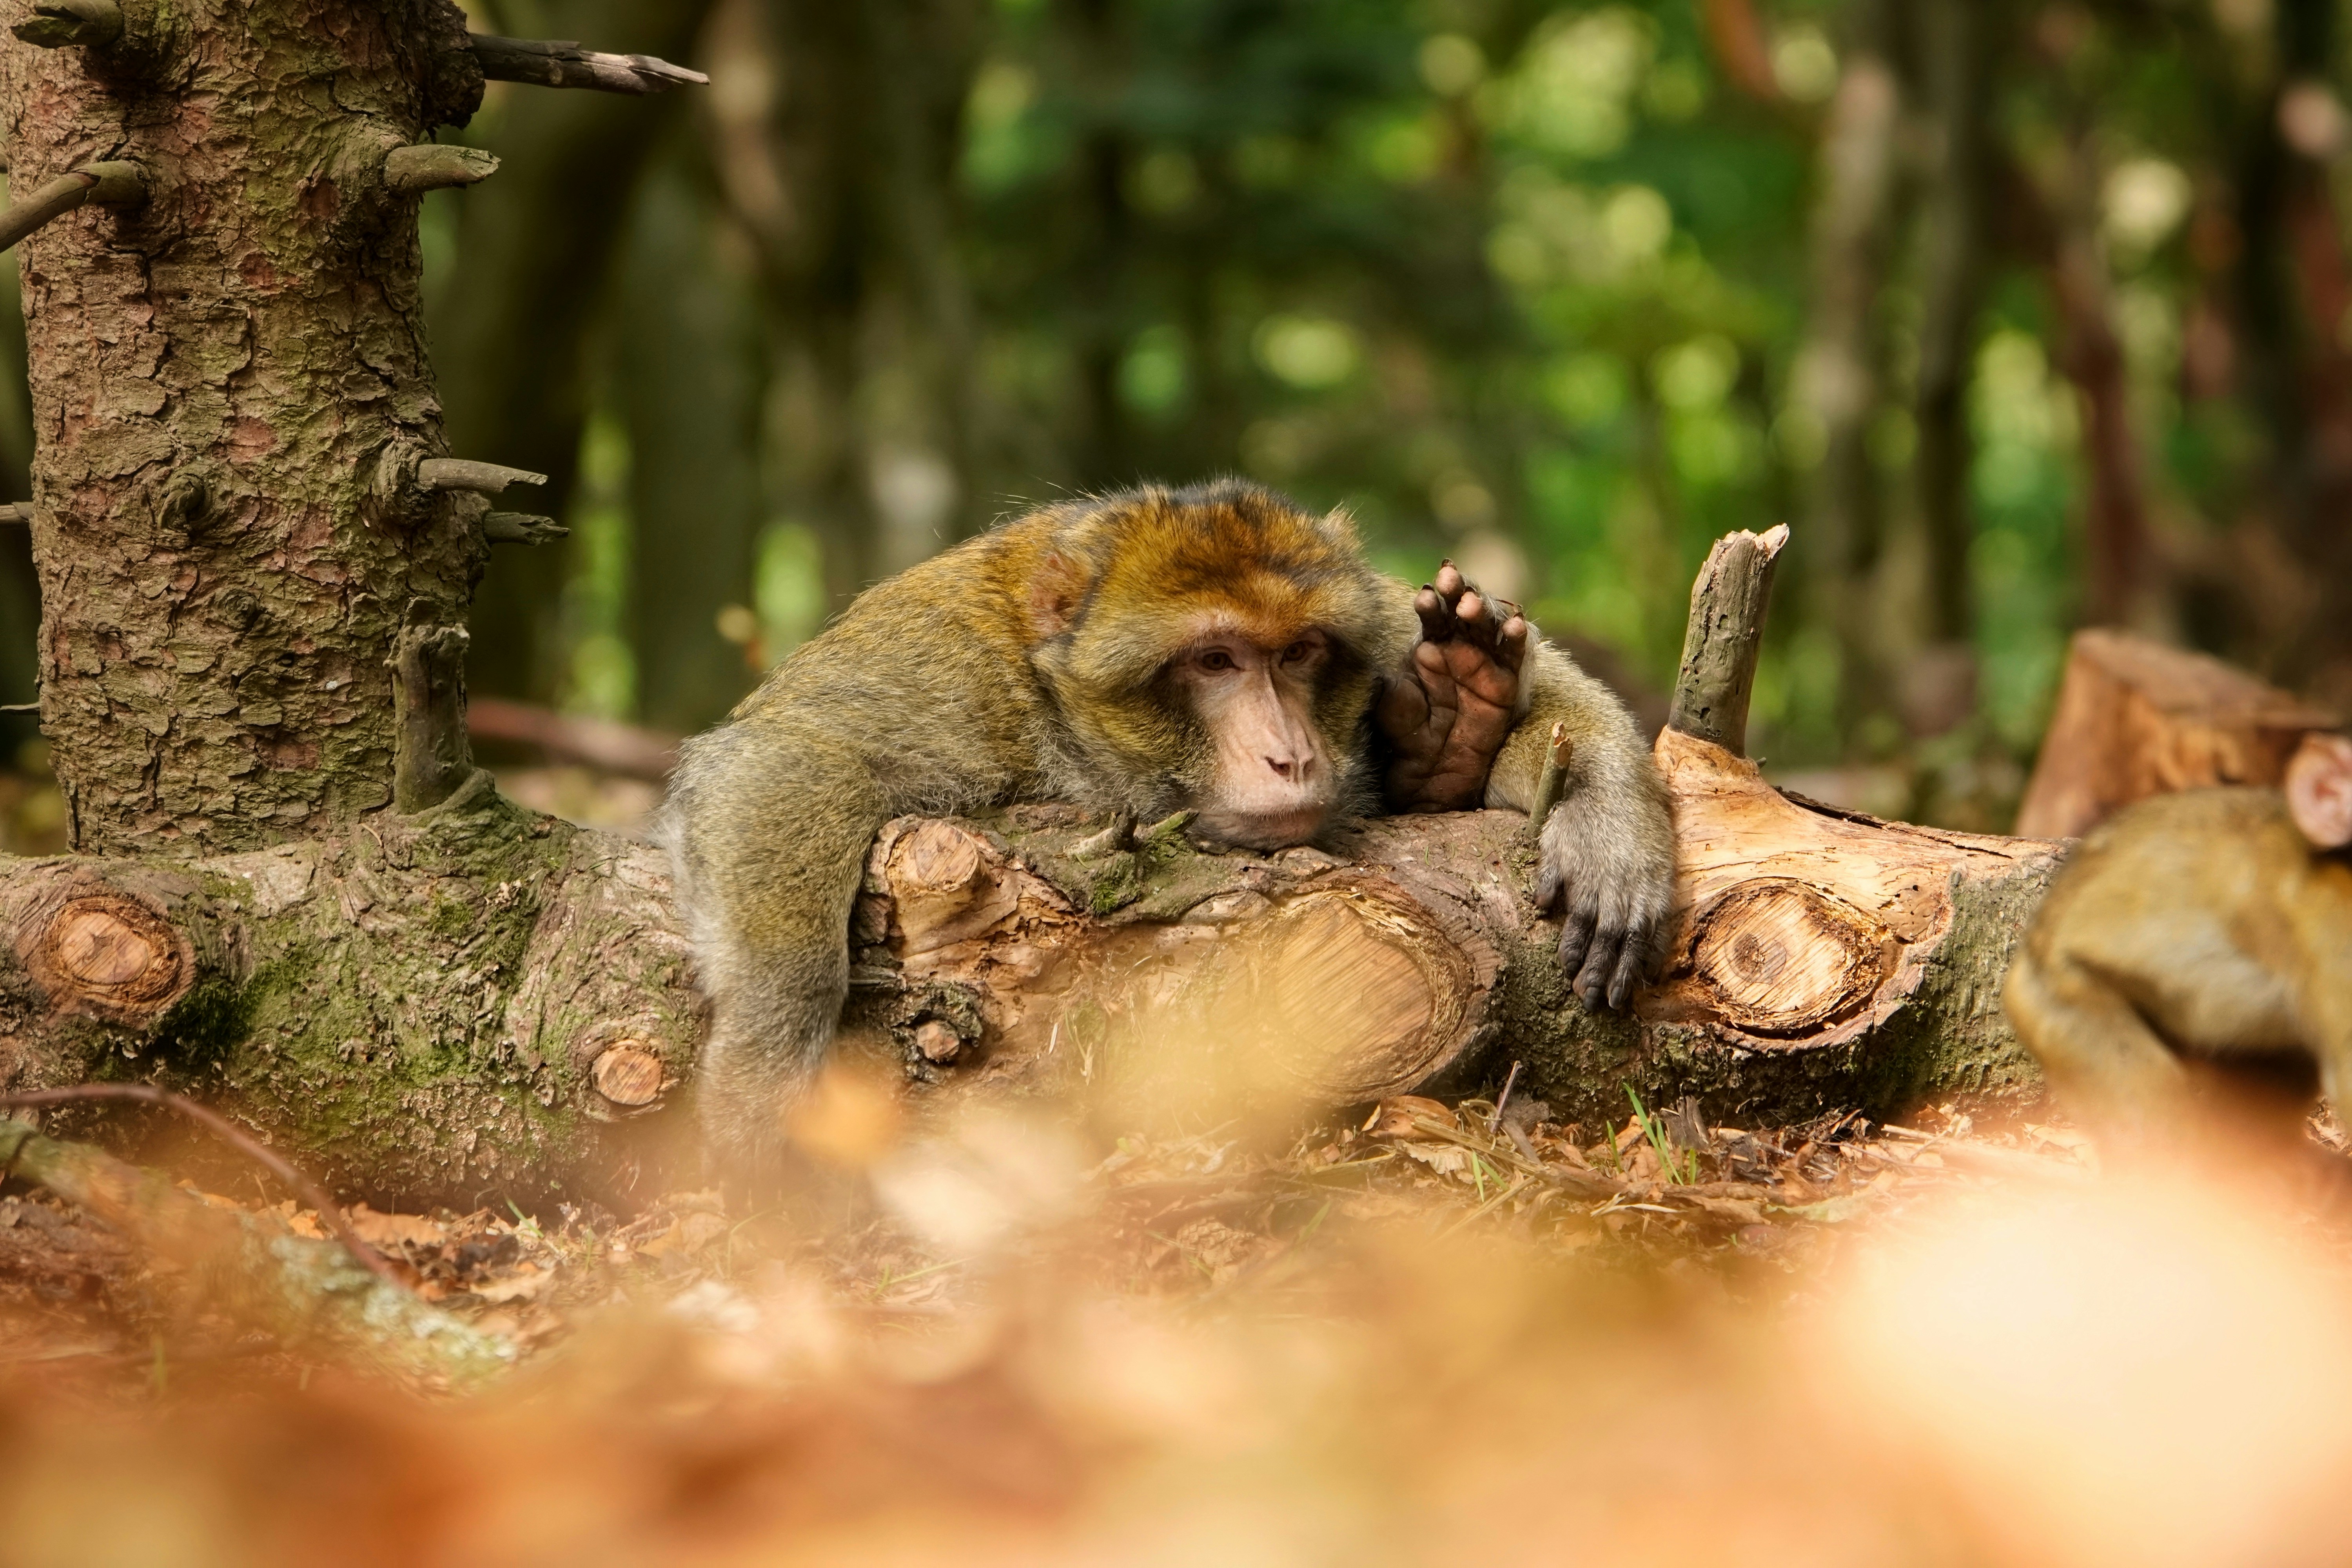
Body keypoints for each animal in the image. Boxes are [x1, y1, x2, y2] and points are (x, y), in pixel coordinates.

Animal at [662, 480, 1675, 1170]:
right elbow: (789, 751)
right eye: (1215, 661)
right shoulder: (951, 674)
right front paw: (764, 1069)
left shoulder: (1382, 615)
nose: (1290, 756)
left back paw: (1458, 717)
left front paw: (1610, 821)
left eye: (1300, 653)